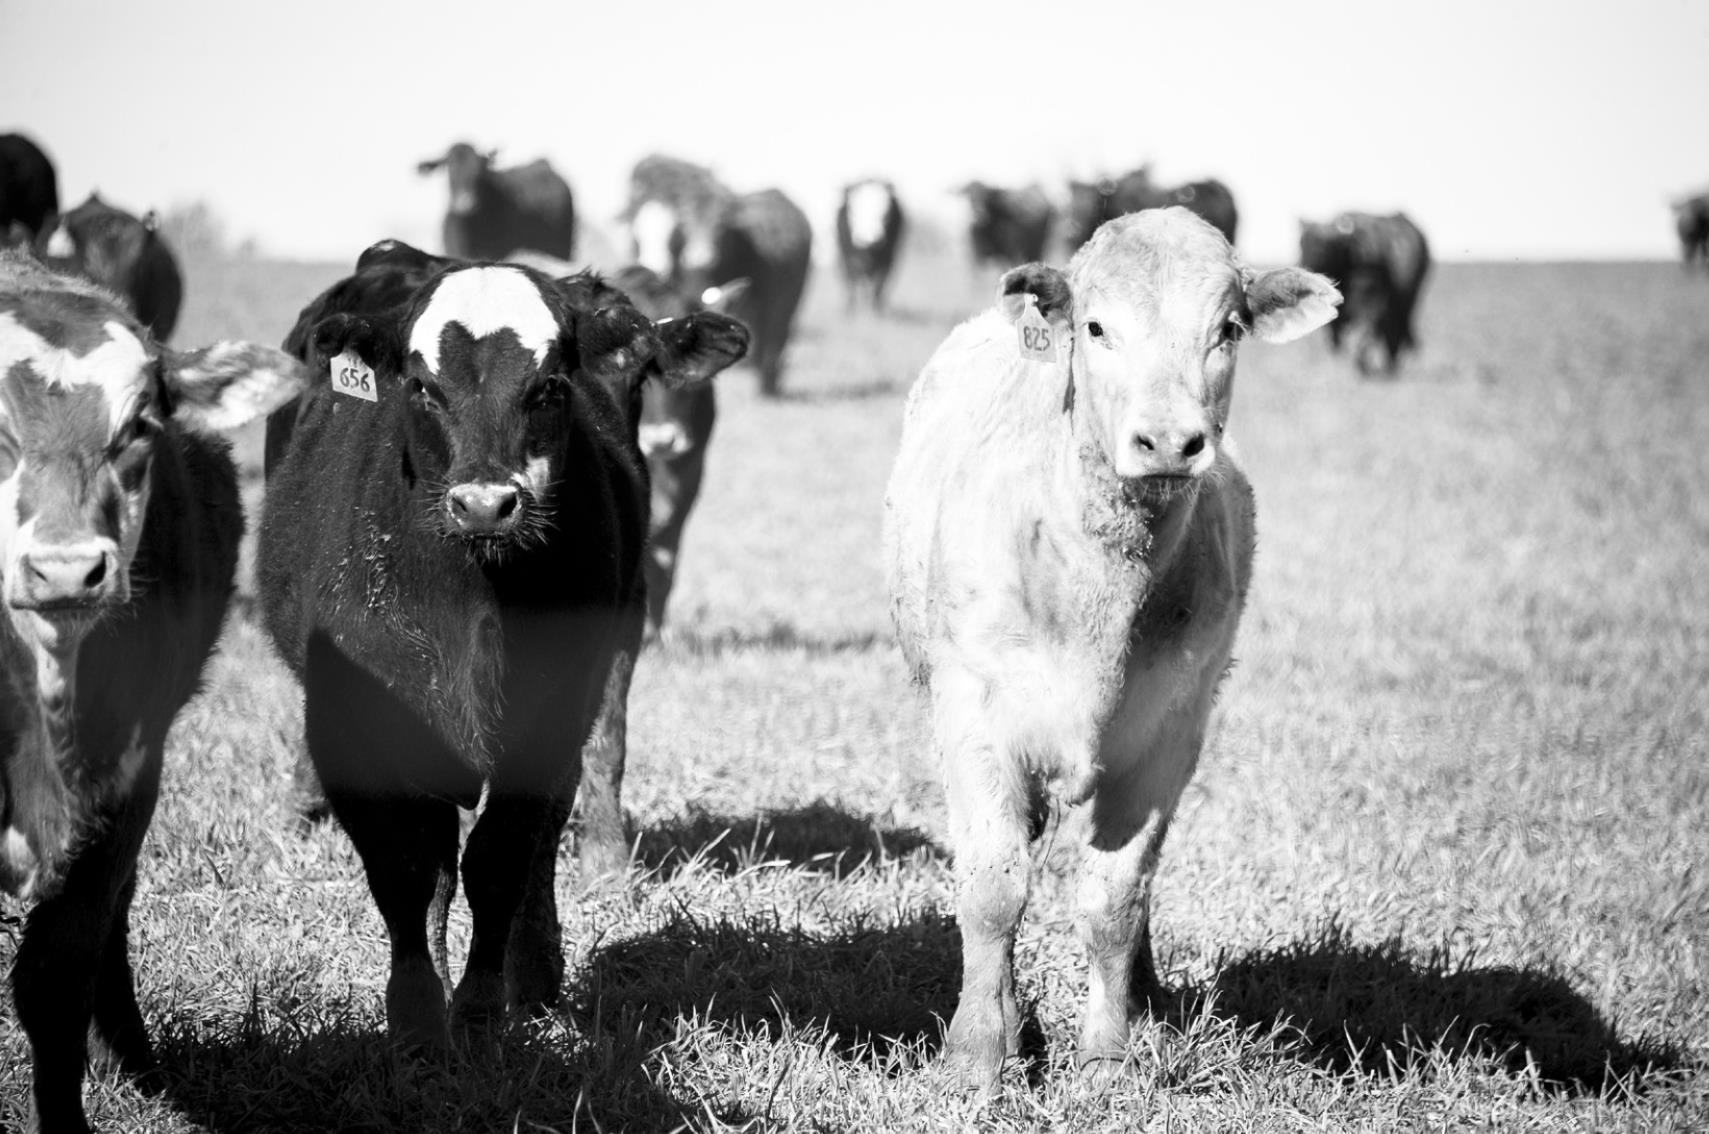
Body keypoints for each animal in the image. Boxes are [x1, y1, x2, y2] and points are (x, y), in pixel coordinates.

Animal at [258, 240, 747, 1046]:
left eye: (550, 385)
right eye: (421, 386)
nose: (485, 504)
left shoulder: (555, 709)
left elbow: (504, 854)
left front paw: (483, 1008)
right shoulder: (366, 719)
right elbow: (408, 866)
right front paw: (416, 1017)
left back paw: (537, 970)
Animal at [836, 178, 906, 312]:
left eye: (887, 211)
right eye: (852, 210)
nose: (871, 240)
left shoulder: (888, 260)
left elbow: (879, 286)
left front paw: (877, 311)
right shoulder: (848, 259)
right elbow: (851, 283)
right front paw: (850, 310)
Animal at [884, 209, 1338, 1090]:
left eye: (1227, 329)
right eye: (1096, 327)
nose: (1167, 441)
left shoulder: (1168, 733)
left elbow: (1116, 895)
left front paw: (1106, 1055)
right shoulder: (974, 716)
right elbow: (992, 891)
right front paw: (977, 1058)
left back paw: (1146, 997)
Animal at [1298, 211, 1430, 376]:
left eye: (1326, 247)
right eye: (1302, 244)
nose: (1306, 269)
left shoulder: (1371, 308)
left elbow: (1365, 334)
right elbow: (1337, 340)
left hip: (1404, 305)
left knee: (1392, 333)